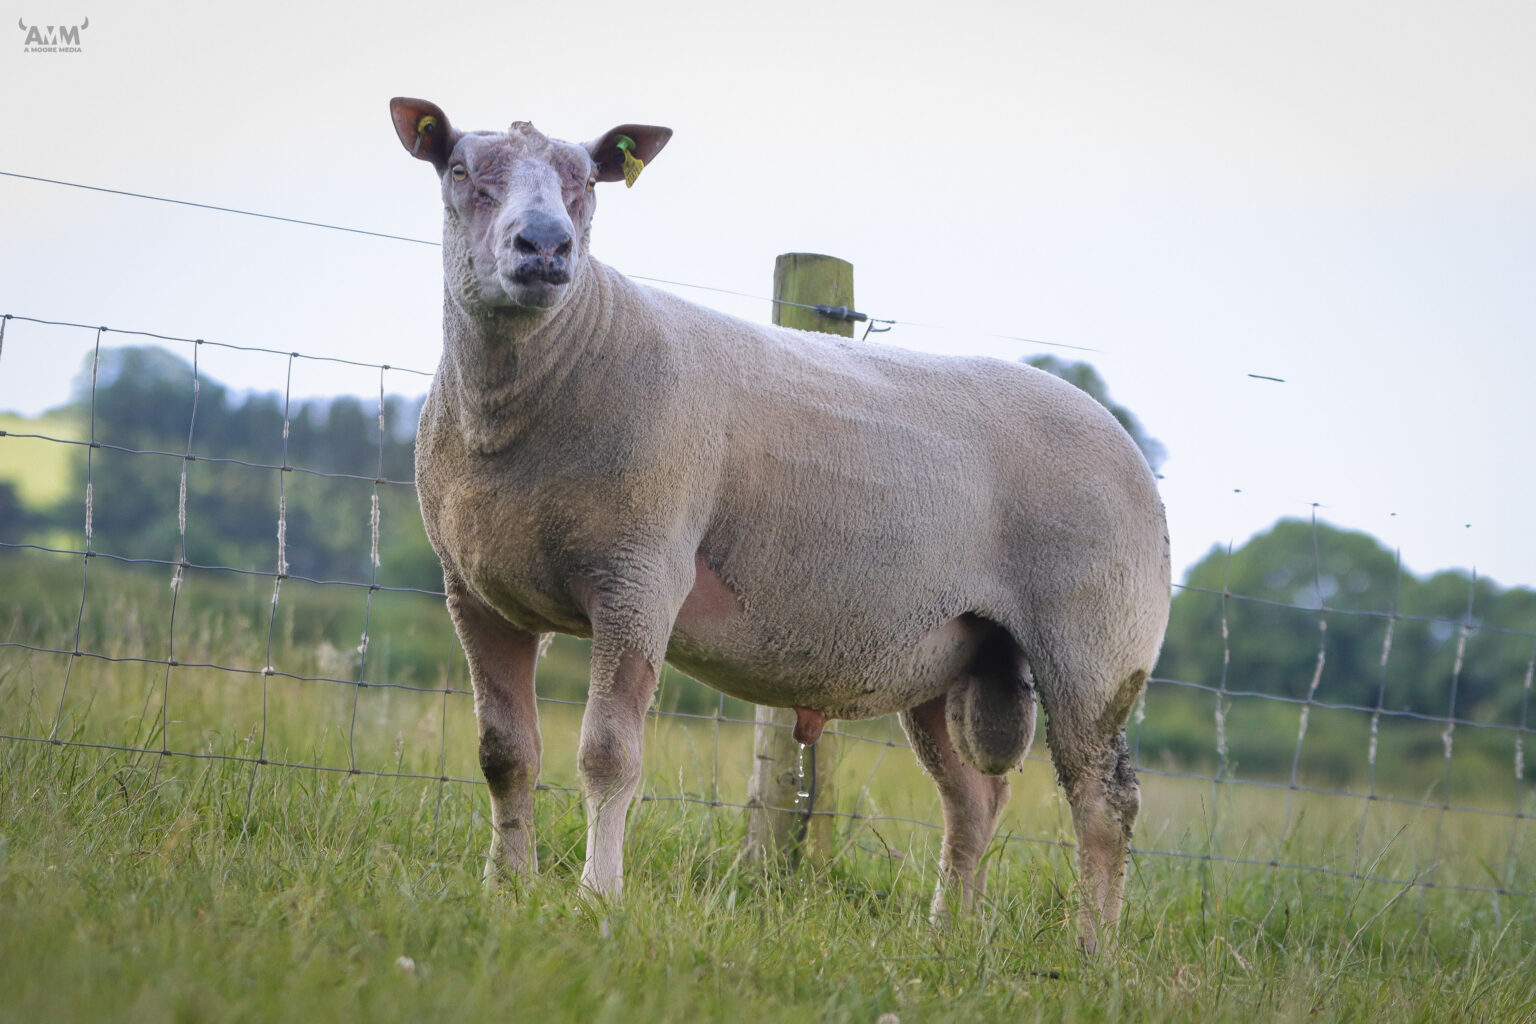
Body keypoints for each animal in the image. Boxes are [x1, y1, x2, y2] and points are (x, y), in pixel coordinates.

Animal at [389, 97, 1171, 952]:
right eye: (463, 171)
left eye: (584, 183)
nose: (546, 246)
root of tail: (1121, 436)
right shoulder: (474, 594)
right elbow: (504, 755)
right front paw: (506, 889)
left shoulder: (640, 579)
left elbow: (608, 756)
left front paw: (598, 898)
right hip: (950, 648)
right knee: (973, 799)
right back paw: (947, 936)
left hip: (1096, 644)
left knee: (1105, 800)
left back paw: (1092, 949)